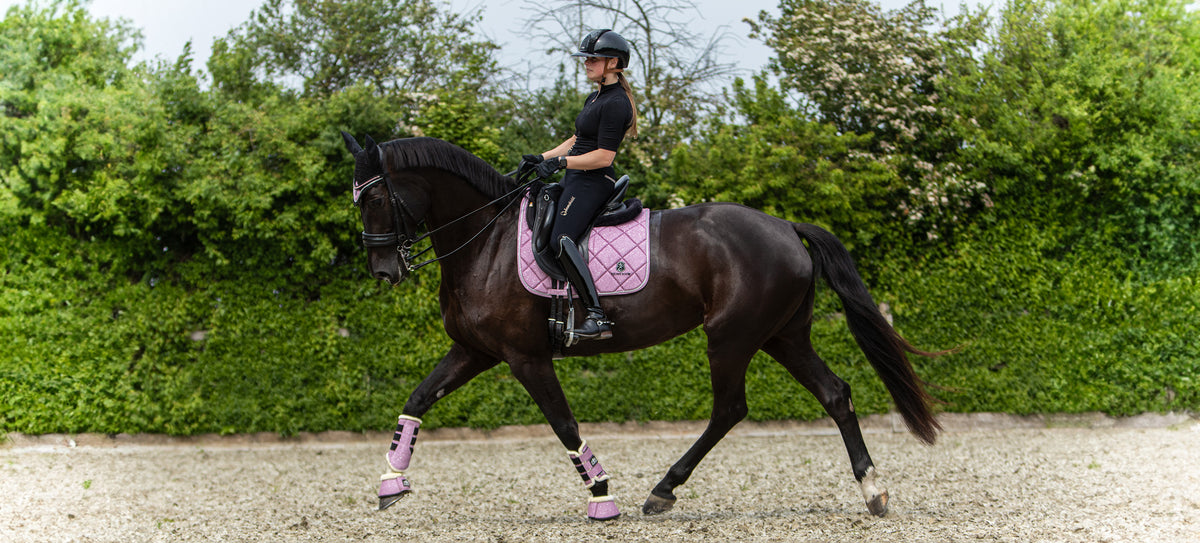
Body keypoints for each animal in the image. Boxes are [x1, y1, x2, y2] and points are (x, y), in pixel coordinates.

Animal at [341, 132, 945, 520]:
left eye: (375, 196)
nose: (384, 270)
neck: (484, 241)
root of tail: (785, 226)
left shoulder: (526, 358)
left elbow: (564, 425)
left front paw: (601, 496)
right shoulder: (474, 351)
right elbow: (417, 399)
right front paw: (391, 481)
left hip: (731, 337)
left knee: (730, 408)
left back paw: (662, 490)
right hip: (782, 336)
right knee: (834, 393)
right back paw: (873, 491)